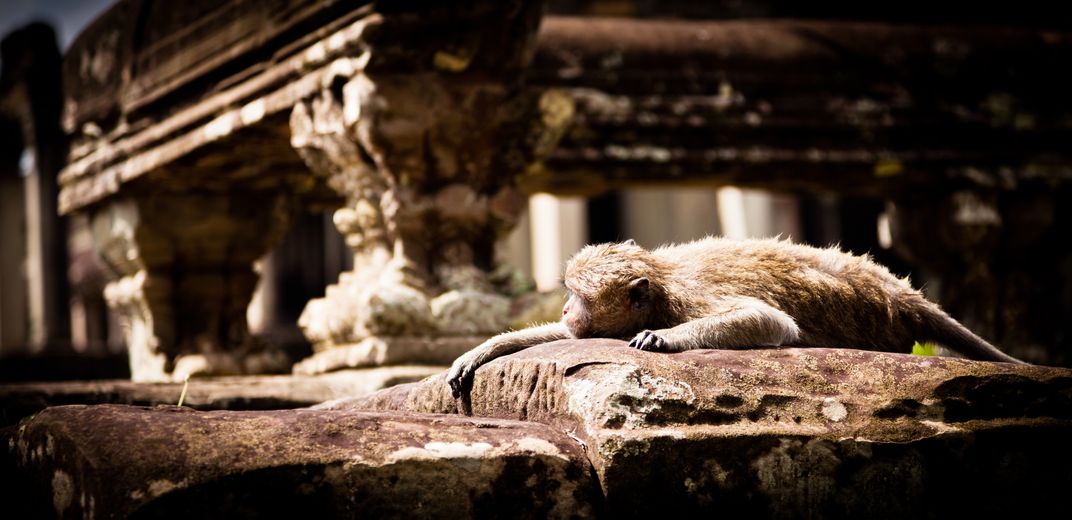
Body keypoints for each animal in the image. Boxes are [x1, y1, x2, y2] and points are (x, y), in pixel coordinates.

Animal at [446, 236, 1024, 399]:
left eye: (579, 296)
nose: (567, 306)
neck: (661, 288)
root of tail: (895, 291)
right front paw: (480, 350)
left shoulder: (691, 299)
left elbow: (773, 323)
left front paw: (662, 338)